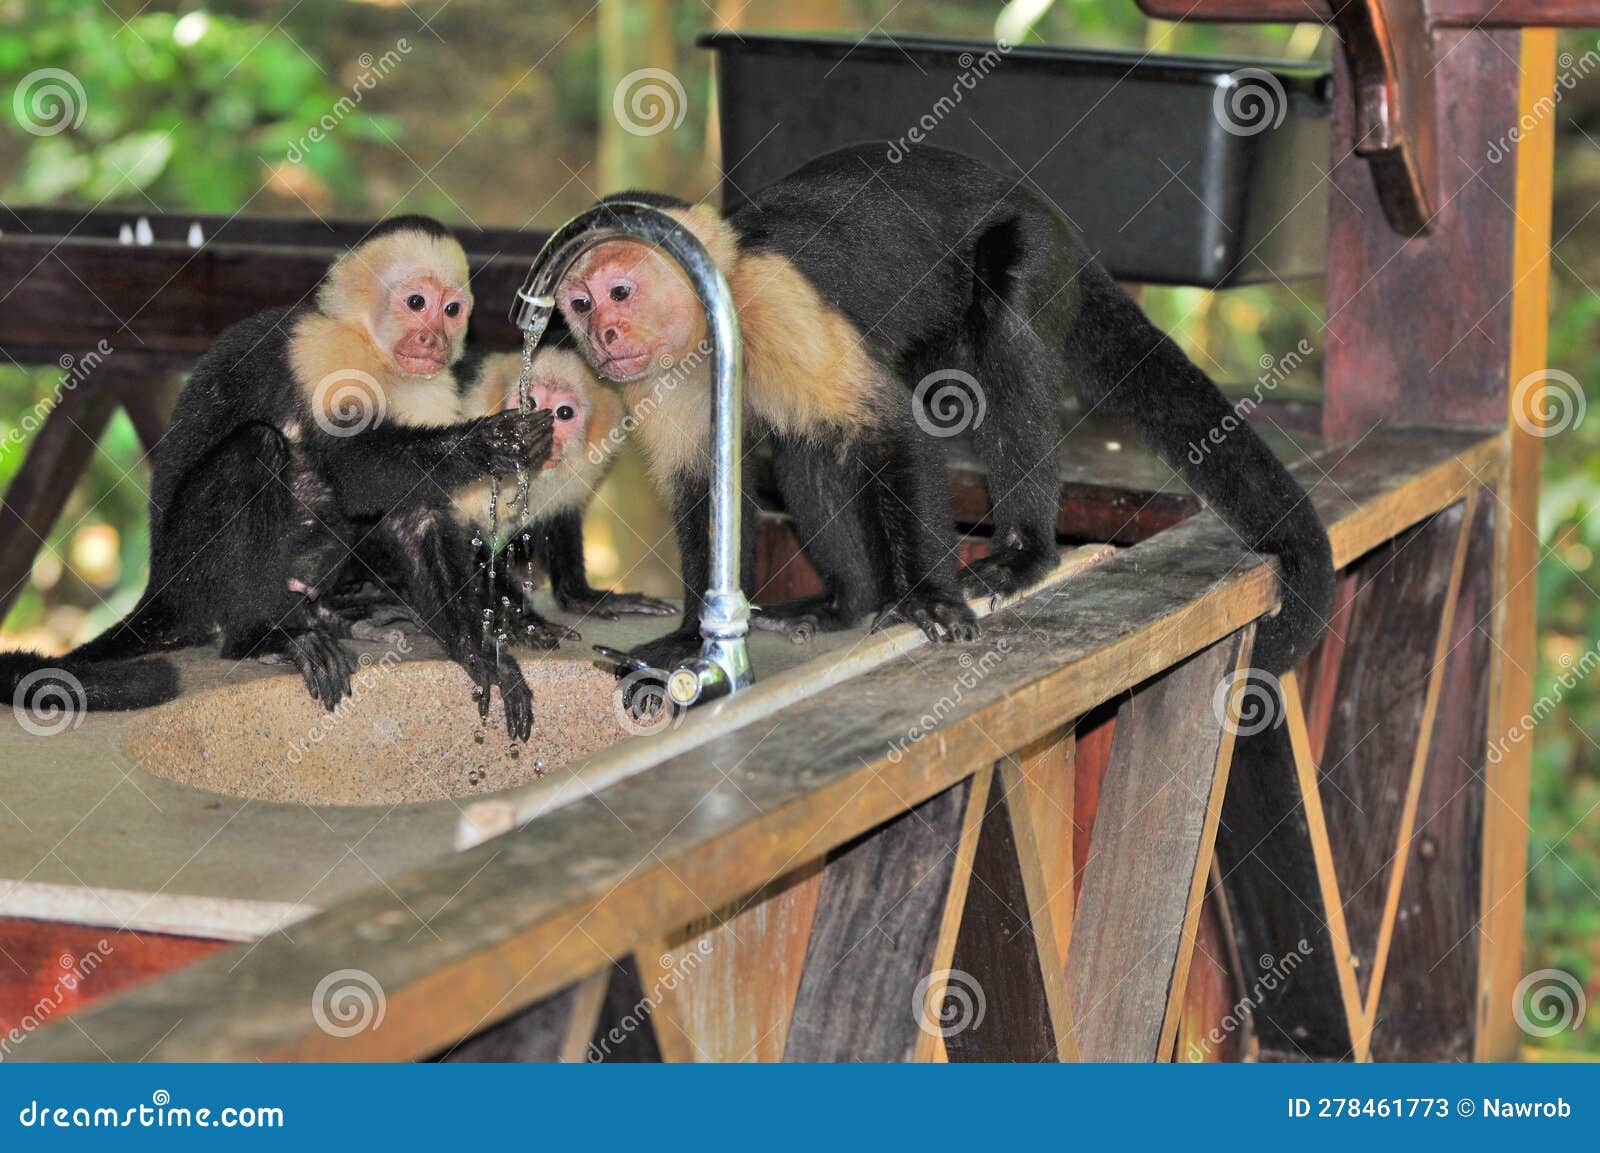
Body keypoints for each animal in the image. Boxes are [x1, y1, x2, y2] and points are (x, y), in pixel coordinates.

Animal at [2, 216, 553, 739]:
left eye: (452, 309)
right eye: (416, 302)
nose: (433, 339)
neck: (375, 354)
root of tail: (160, 589)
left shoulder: (430, 388)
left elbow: (415, 514)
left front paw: (478, 651)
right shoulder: (323, 352)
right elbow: (350, 469)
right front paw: (490, 444)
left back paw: (325, 615)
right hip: (192, 573)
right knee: (258, 450)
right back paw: (259, 636)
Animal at [554, 146, 1333, 677]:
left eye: (620, 292)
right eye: (581, 304)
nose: (604, 338)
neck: (710, 324)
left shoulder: (773, 302)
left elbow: (893, 428)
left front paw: (930, 597)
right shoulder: (663, 376)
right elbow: (708, 484)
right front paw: (693, 637)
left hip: (1037, 250)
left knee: (1003, 319)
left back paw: (1025, 552)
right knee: (809, 445)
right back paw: (846, 599)